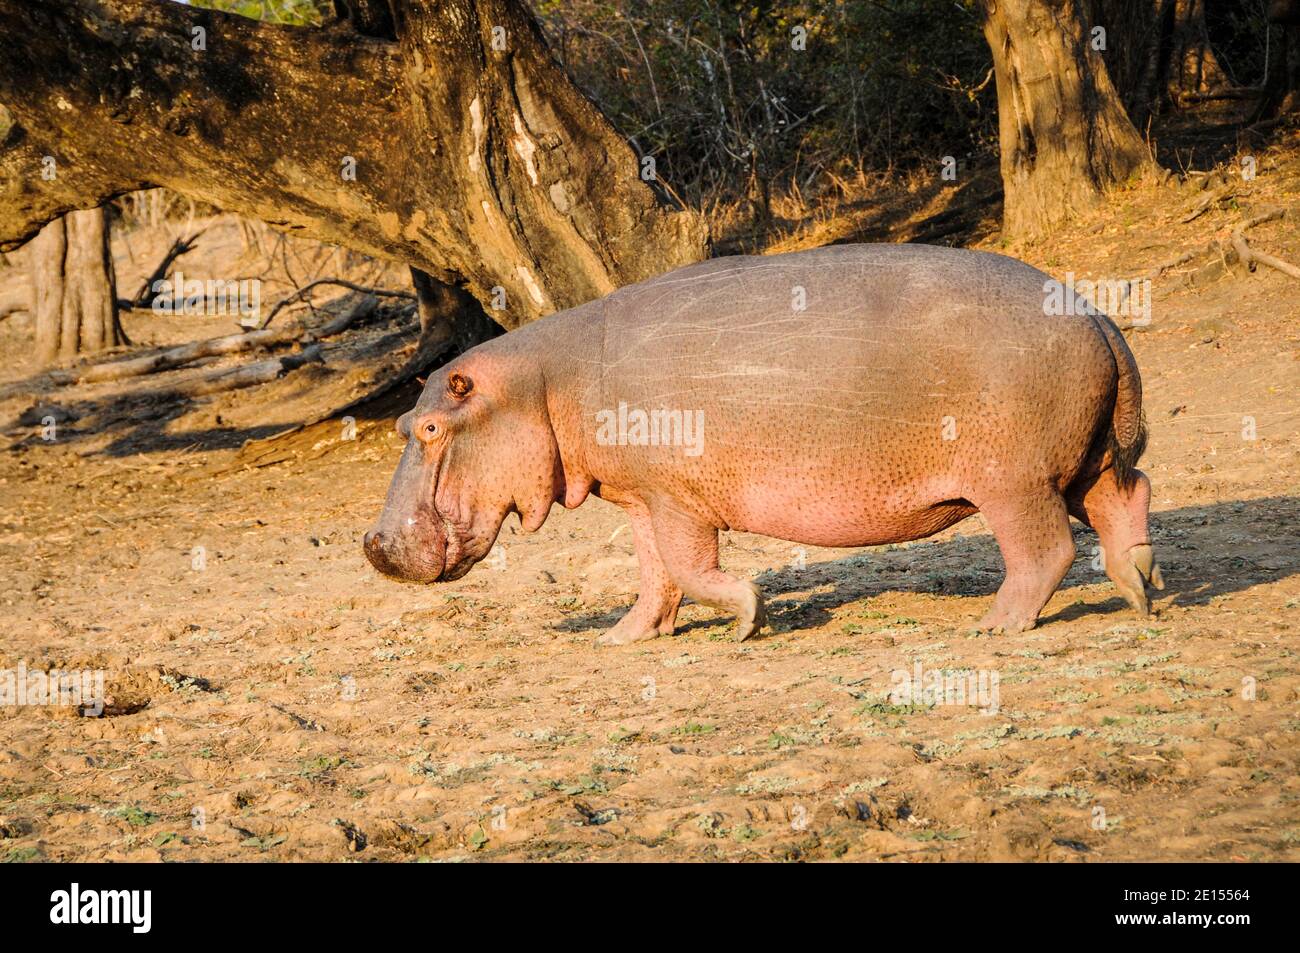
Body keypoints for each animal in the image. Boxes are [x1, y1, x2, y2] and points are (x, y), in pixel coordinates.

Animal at [364, 243, 1163, 643]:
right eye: (403, 426)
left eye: (430, 427)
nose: (374, 544)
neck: (542, 384)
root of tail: (1095, 314)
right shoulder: (641, 495)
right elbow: (653, 574)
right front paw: (623, 638)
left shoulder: (677, 498)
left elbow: (689, 568)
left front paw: (748, 617)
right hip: (1086, 460)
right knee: (1127, 497)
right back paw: (1139, 591)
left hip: (1014, 480)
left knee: (1043, 550)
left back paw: (995, 626)